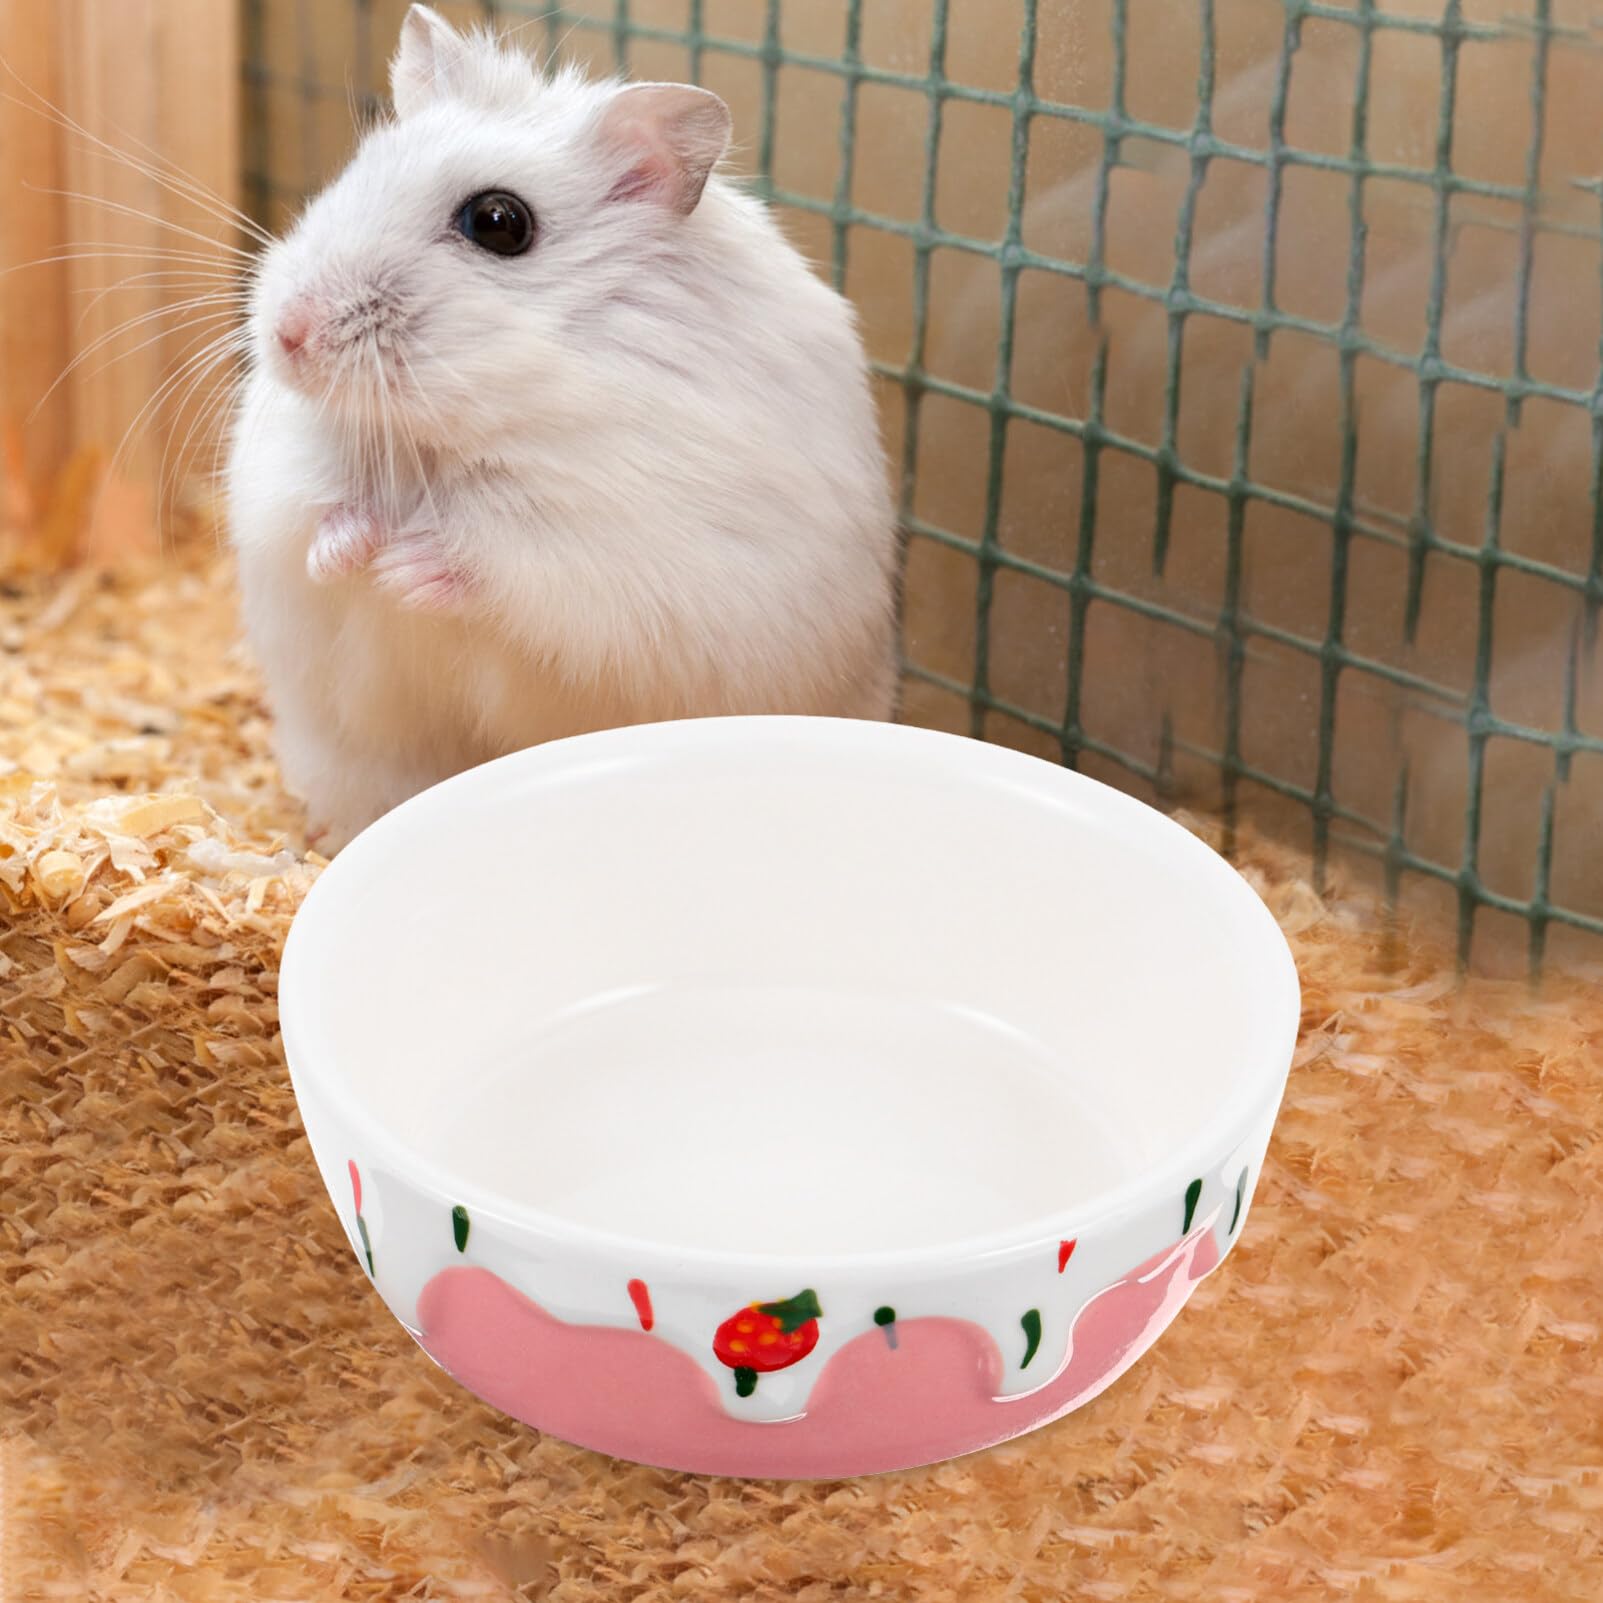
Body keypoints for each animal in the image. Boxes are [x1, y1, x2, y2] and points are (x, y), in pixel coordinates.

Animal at [227, 4, 898, 852]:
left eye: (499, 222)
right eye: (356, 172)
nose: (289, 334)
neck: (447, 436)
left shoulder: (605, 541)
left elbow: (502, 552)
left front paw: (400, 570)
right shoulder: (286, 475)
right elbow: (315, 512)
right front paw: (352, 556)